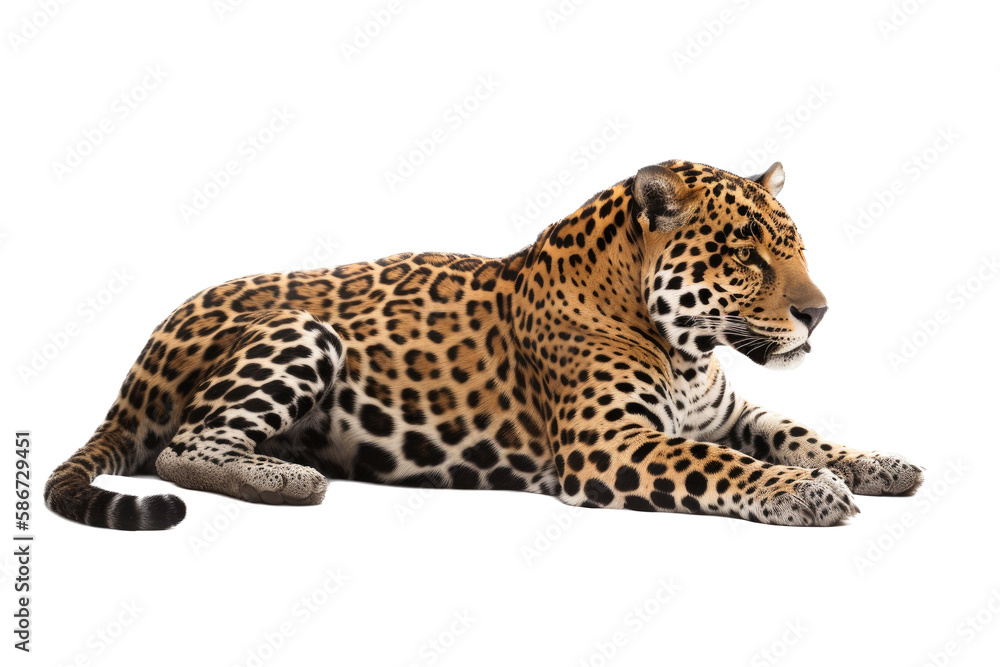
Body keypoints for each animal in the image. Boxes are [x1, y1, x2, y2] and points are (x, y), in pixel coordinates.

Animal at [45, 159, 924, 530]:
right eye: (746, 256)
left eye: (796, 247)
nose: (819, 313)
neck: (687, 349)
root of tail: (139, 363)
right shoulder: (611, 443)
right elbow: (727, 466)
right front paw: (809, 493)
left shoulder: (726, 412)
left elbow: (797, 432)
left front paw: (881, 463)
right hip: (302, 328)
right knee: (182, 446)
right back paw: (288, 477)